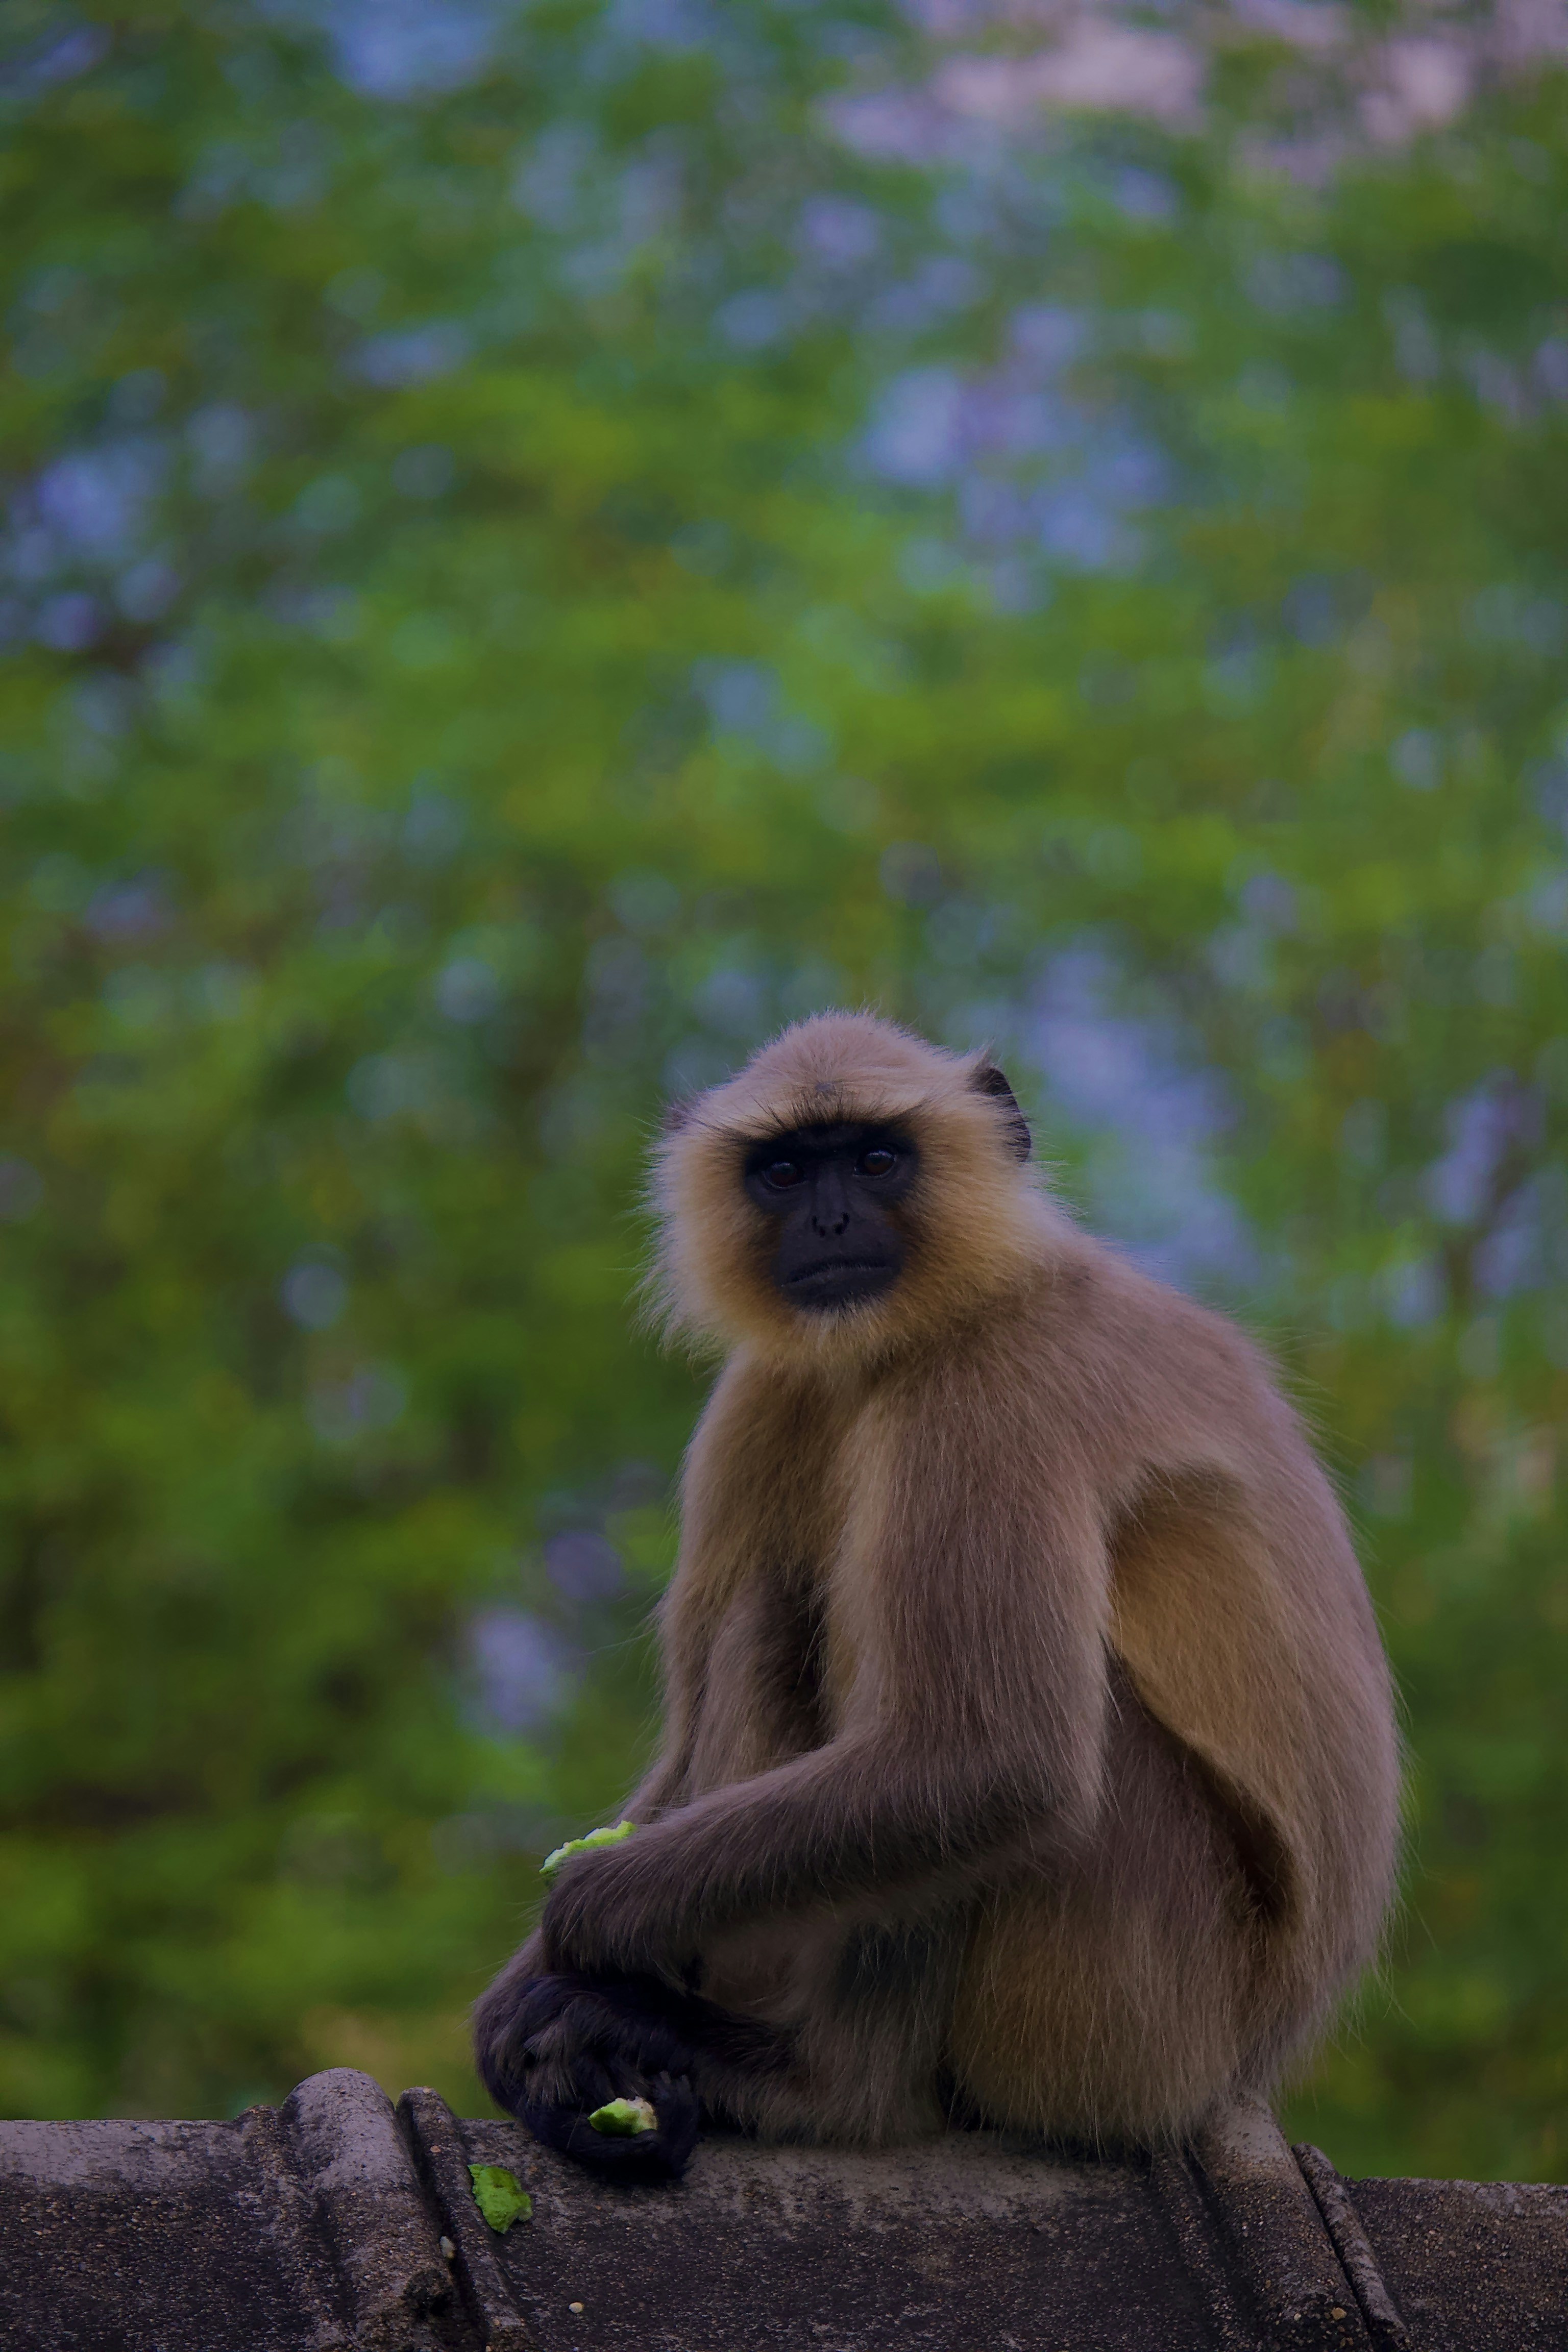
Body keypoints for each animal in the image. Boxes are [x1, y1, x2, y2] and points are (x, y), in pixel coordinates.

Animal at [474, 1012, 1400, 2181]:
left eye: (877, 1159)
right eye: (785, 1171)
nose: (830, 1219)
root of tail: (1244, 2070)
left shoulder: (994, 1385)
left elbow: (986, 1760)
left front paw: (584, 1920)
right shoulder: (760, 1394)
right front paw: (520, 2008)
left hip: (1133, 2019)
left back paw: (825, 2090)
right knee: (771, 1612)